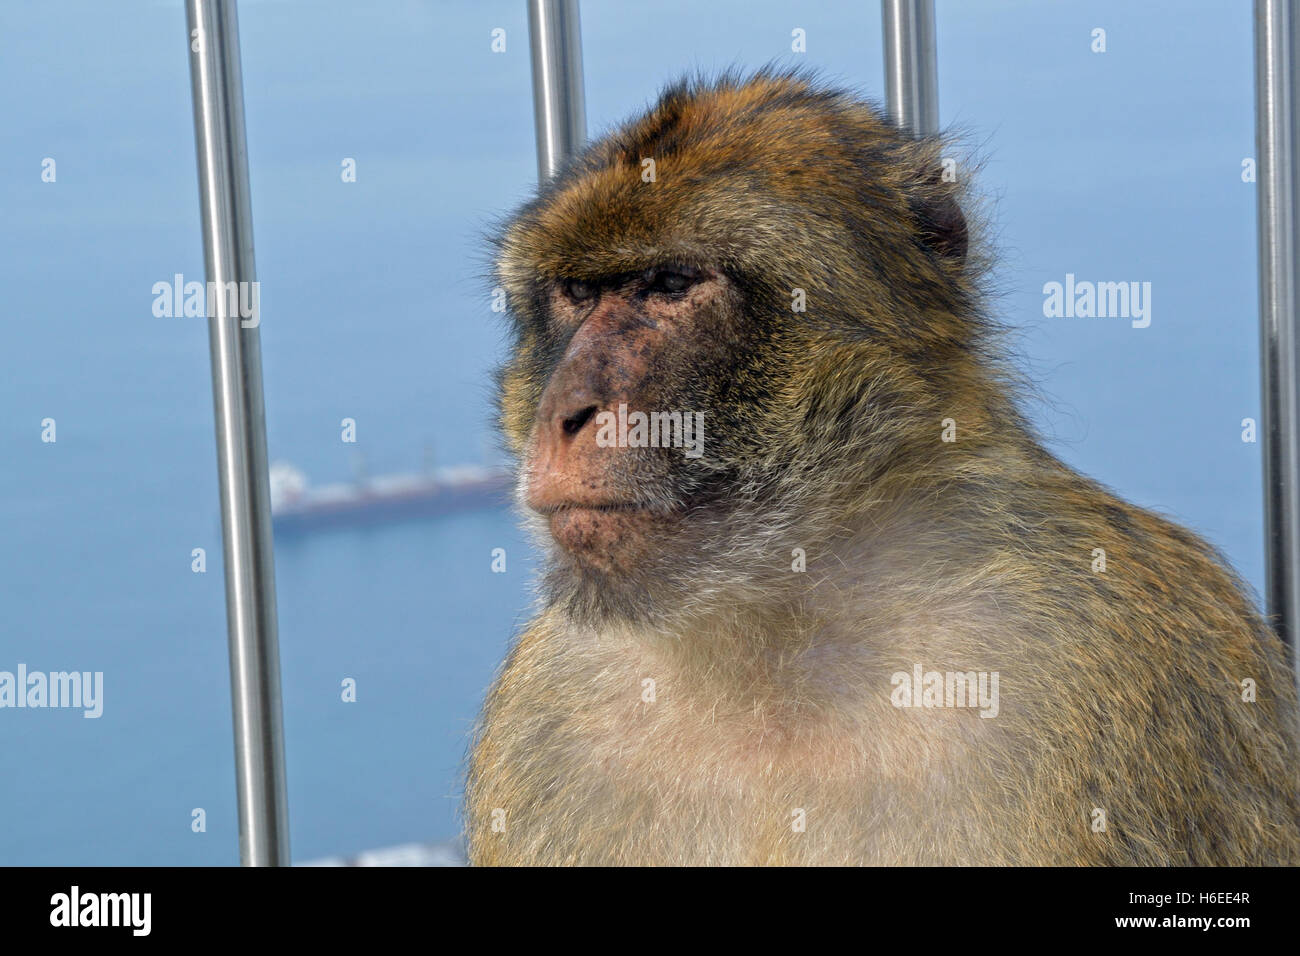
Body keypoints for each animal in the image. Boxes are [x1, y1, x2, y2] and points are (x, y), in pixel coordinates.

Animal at [465, 69, 1300, 865]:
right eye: (578, 293)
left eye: (669, 285)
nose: (567, 411)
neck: (775, 638)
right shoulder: (543, 710)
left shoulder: (1123, 642)